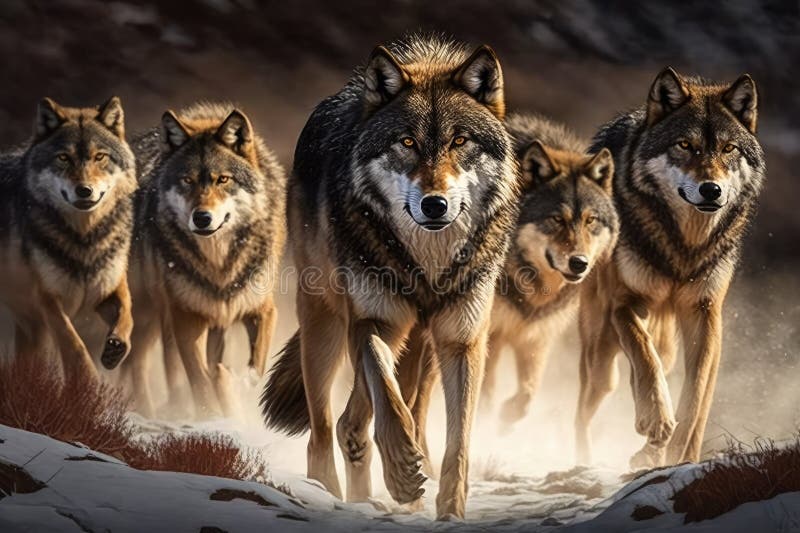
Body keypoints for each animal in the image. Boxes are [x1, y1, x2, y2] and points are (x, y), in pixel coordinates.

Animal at [0, 97, 136, 379]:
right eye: (63, 158)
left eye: (99, 157)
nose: (84, 190)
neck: (84, 240)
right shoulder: (47, 299)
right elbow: (73, 342)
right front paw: (87, 379)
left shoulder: (110, 287)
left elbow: (127, 313)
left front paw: (116, 348)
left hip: (30, 328)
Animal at [126, 103, 286, 418]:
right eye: (187, 180)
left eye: (222, 179)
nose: (202, 218)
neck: (219, 266)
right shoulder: (187, 318)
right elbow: (199, 379)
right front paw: (210, 415)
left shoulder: (262, 309)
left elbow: (255, 368)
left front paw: (237, 390)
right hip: (149, 313)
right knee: (136, 361)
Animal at [260, 35, 518, 518]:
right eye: (407, 141)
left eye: (460, 140)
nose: (434, 204)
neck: (428, 265)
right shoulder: (374, 321)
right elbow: (386, 392)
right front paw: (400, 472)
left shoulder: (462, 339)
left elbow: (458, 442)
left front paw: (449, 511)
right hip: (328, 326)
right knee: (330, 426)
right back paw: (334, 494)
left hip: (421, 345)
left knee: (377, 414)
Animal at [397, 114, 619, 474]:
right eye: (556, 219)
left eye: (591, 221)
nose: (579, 263)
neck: (530, 287)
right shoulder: (491, 334)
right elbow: (485, 393)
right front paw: (489, 424)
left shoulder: (536, 337)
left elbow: (527, 396)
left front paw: (504, 420)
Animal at [575, 68, 765, 468]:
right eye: (685, 145)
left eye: (728, 149)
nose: (711, 190)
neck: (684, 248)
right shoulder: (625, 304)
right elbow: (645, 361)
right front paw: (656, 419)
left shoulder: (705, 316)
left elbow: (695, 398)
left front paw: (678, 452)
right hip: (601, 361)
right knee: (585, 411)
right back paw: (586, 458)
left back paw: (652, 452)